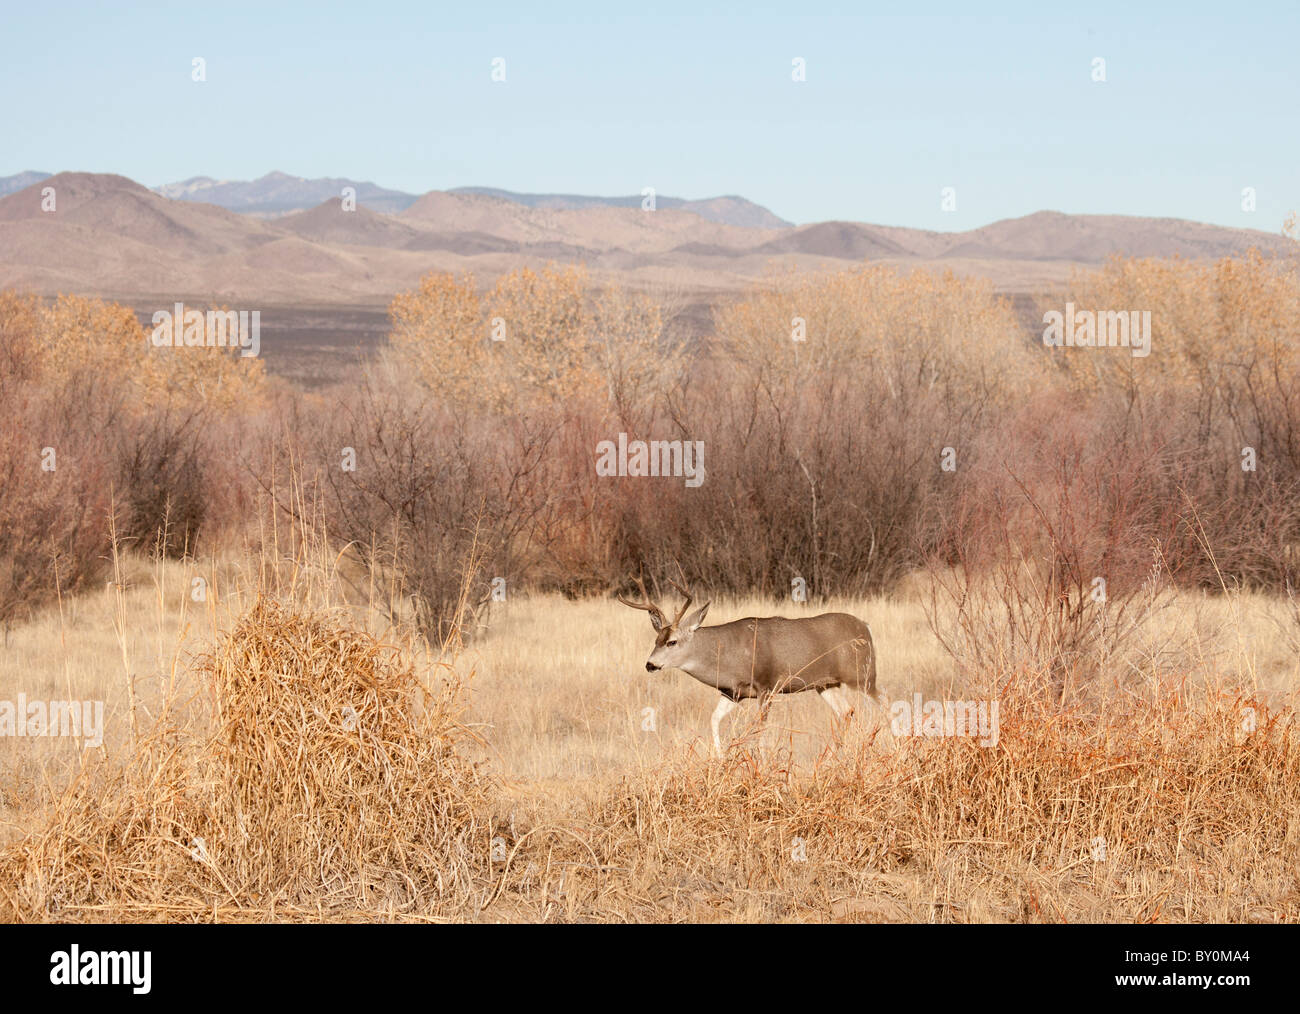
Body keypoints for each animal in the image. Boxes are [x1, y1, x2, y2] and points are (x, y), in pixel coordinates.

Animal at [618, 576, 879, 755]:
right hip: (826, 684)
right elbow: (714, 719)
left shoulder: (767, 685)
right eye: (656, 641)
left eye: (672, 641)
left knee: (882, 705)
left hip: (863, 675)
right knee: (847, 711)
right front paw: (720, 758)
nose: (650, 664)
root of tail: (866, 626)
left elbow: (760, 729)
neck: (728, 655)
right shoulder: (733, 692)